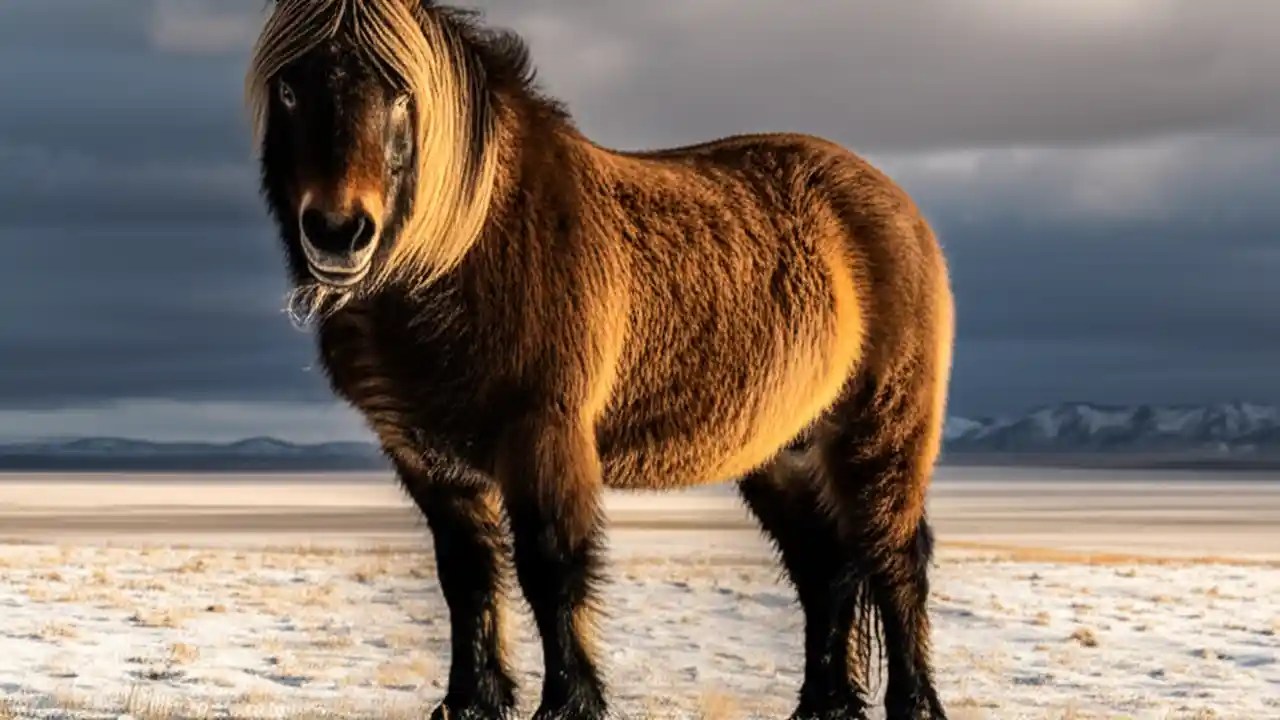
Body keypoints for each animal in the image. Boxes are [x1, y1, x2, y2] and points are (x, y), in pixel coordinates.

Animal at [245, 2, 955, 718]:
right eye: (289, 88)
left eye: (399, 92)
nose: (337, 233)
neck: (466, 250)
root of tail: (898, 204)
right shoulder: (427, 457)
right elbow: (467, 577)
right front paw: (472, 700)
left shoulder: (544, 435)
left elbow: (552, 567)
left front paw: (567, 702)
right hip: (783, 449)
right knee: (825, 568)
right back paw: (822, 704)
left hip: (878, 437)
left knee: (894, 561)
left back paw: (913, 702)